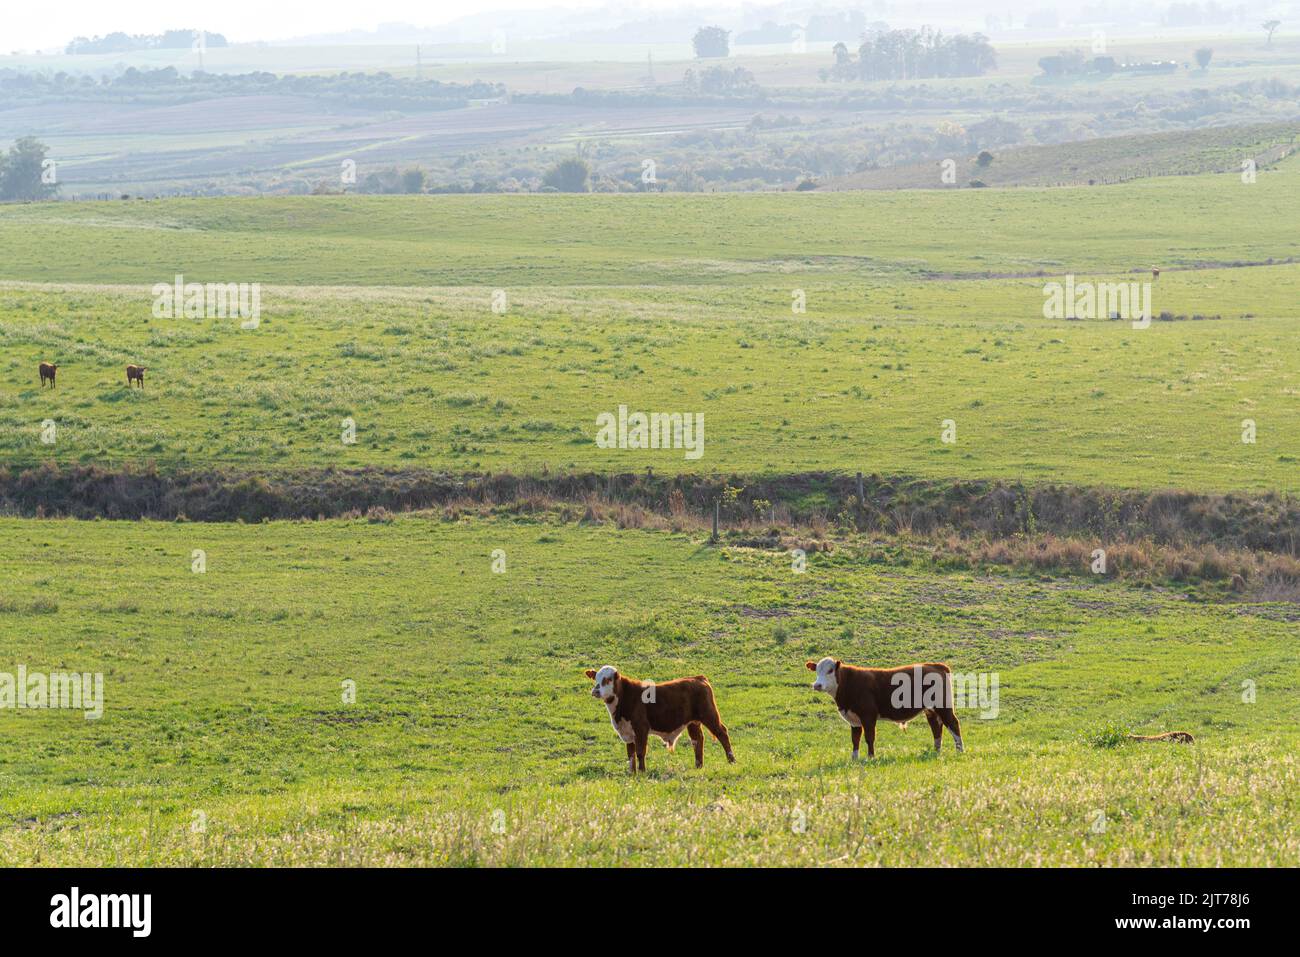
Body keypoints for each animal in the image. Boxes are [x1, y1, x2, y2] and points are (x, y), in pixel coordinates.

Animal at [585, 665, 735, 773]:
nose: (595, 691)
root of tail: (698, 678)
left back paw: (731, 760)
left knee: (722, 733)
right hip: (693, 722)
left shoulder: (641, 728)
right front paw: (632, 773)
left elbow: (640, 752)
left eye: (608, 679)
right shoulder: (627, 732)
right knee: (697, 739)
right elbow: (631, 754)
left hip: (709, 714)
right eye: (596, 678)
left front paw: (642, 772)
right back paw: (699, 765)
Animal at [806, 657, 963, 759]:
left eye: (830, 670)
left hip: (944, 706)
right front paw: (854, 759)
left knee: (953, 724)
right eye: (817, 671)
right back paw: (936, 751)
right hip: (931, 710)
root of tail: (936, 665)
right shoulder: (854, 720)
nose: (817, 685)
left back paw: (960, 751)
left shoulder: (868, 716)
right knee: (936, 727)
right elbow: (855, 739)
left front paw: (871, 757)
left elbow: (869, 738)